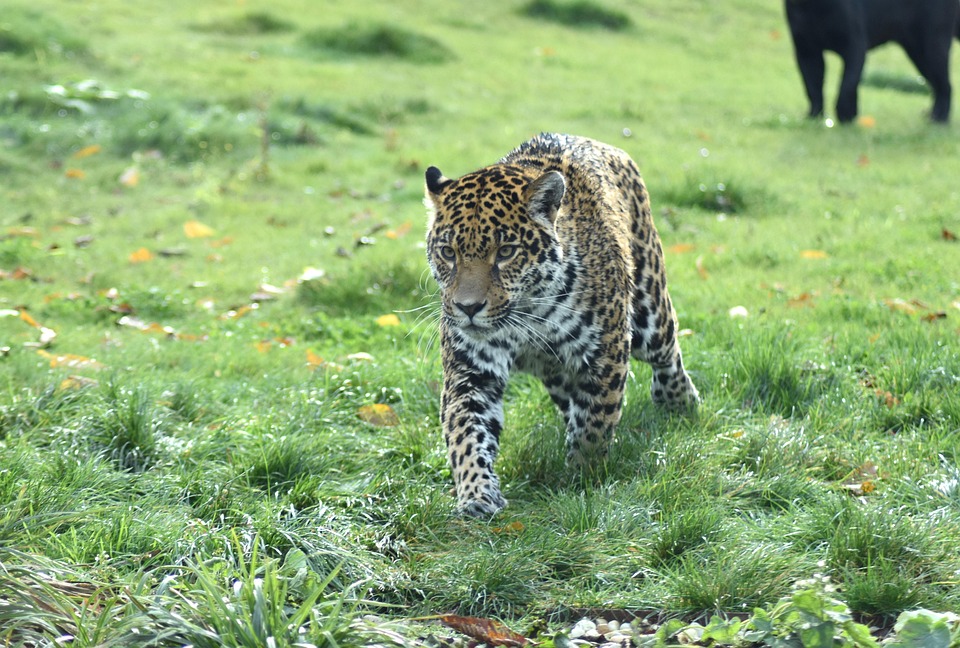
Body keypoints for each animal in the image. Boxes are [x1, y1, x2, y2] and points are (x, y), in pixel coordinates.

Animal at [424, 133, 699, 518]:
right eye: (448, 252)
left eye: (506, 252)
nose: (468, 308)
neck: (527, 312)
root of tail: (601, 143)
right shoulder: (471, 370)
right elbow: (466, 432)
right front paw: (477, 494)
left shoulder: (606, 351)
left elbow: (597, 420)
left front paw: (583, 475)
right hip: (555, 370)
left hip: (649, 309)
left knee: (667, 353)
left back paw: (680, 402)